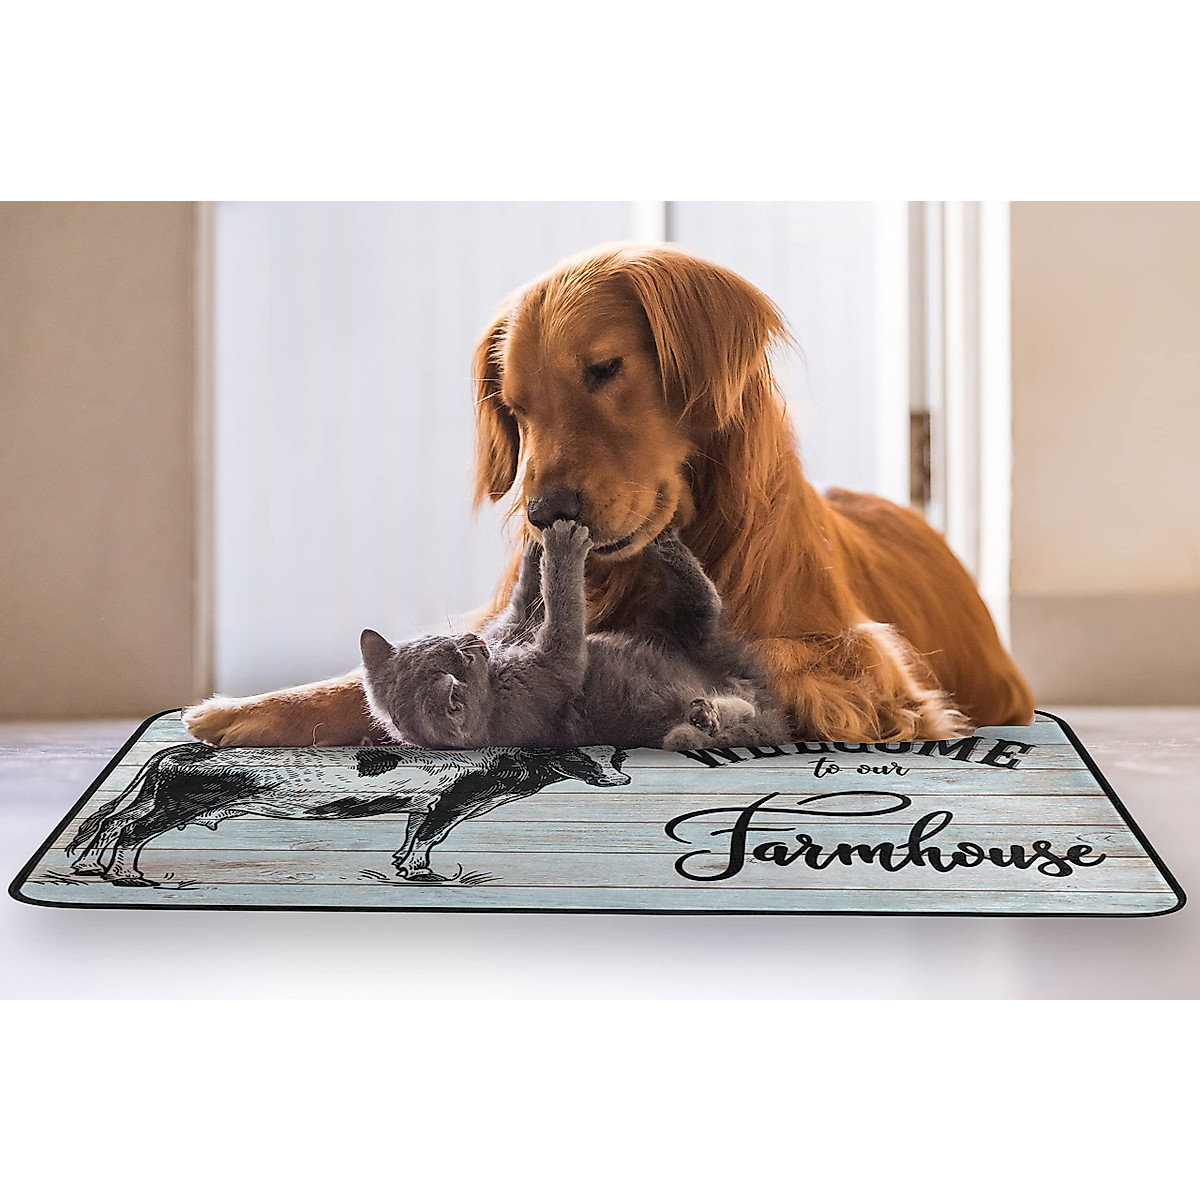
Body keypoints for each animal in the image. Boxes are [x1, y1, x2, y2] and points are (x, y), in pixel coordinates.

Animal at [66, 741, 630, 886]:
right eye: (585, 757)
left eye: (620, 755)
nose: (623, 778)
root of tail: (179, 750)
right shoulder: (449, 804)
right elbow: (429, 839)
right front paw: (425, 875)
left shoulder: (423, 806)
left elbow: (411, 836)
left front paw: (403, 867)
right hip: (174, 804)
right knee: (126, 829)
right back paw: (128, 878)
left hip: (154, 797)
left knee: (109, 821)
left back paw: (93, 868)